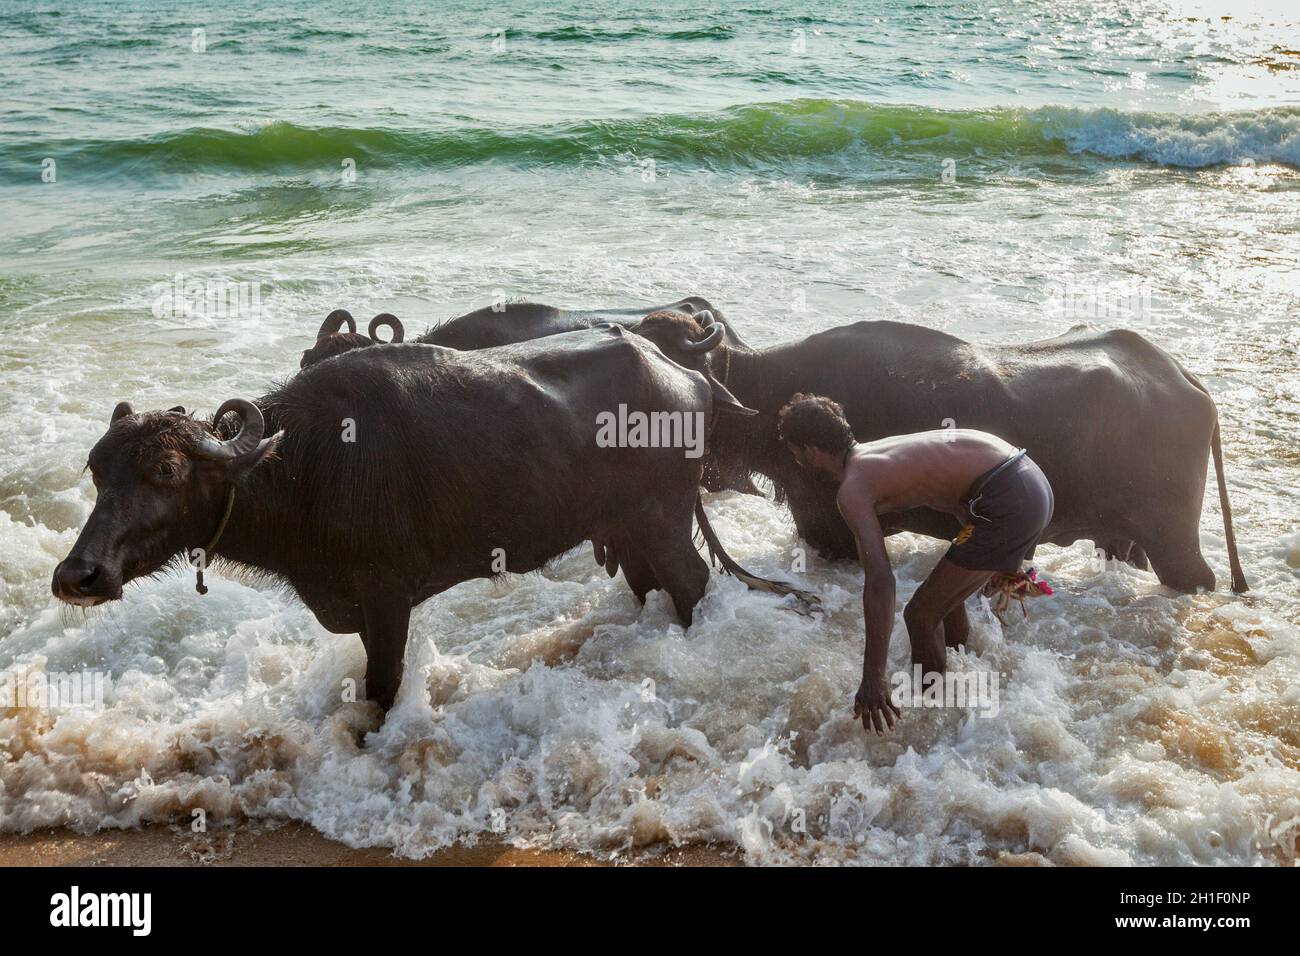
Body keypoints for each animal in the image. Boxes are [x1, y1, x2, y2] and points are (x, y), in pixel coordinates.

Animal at [51, 326, 755, 713]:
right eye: (96, 468)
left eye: (167, 470)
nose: (77, 575)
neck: (304, 466)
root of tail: (687, 375)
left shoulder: (387, 597)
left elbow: (383, 685)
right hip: (627, 528)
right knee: (648, 586)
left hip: (660, 517)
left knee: (692, 584)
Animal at [629, 312, 1249, 601]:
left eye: (670, 363)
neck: (772, 393)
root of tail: (1182, 378)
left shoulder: (837, 529)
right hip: (1121, 537)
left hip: (1172, 537)